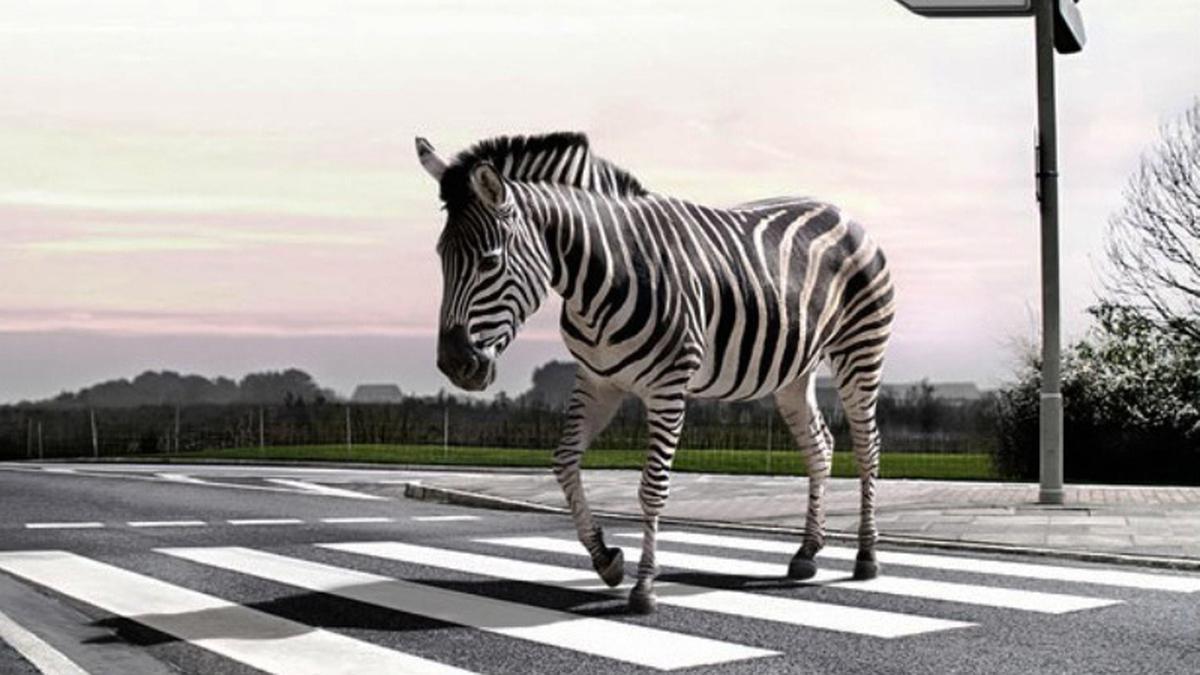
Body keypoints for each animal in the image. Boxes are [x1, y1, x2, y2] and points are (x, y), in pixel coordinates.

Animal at [416, 132, 895, 614]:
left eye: (489, 261)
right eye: (440, 256)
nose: (454, 364)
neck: (601, 278)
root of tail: (842, 212)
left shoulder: (668, 386)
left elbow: (653, 487)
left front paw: (644, 586)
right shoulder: (597, 382)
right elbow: (564, 462)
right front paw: (606, 558)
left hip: (860, 351)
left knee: (868, 446)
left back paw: (866, 556)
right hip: (794, 373)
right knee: (820, 446)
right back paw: (806, 552)